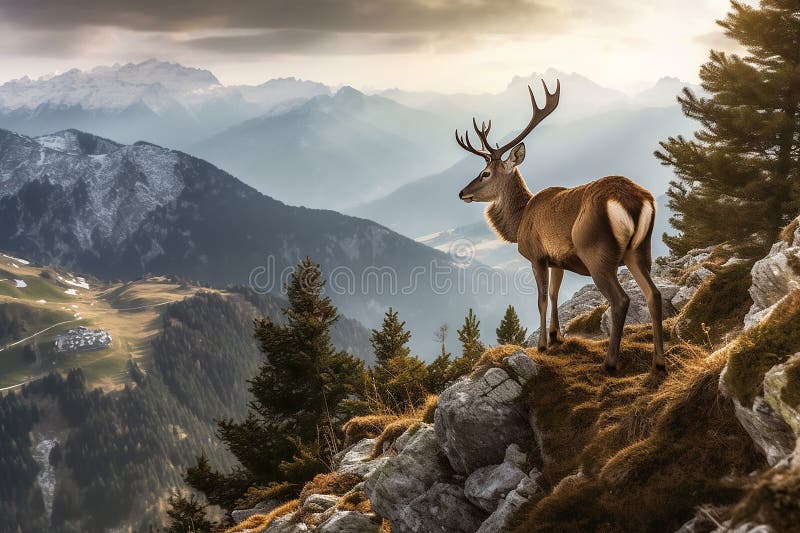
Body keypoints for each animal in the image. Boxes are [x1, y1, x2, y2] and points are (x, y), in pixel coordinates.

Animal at [455, 80, 665, 372]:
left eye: (485, 173)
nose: (462, 192)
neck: (520, 222)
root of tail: (635, 200)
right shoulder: (558, 260)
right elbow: (555, 294)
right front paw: (556, 336)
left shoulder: (536, 256)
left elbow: (542, 299)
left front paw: (542, 344)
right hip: (640, 250)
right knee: (654, 294)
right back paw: (659, 362)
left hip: (597, 251)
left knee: (620, 300)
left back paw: (610, 362)